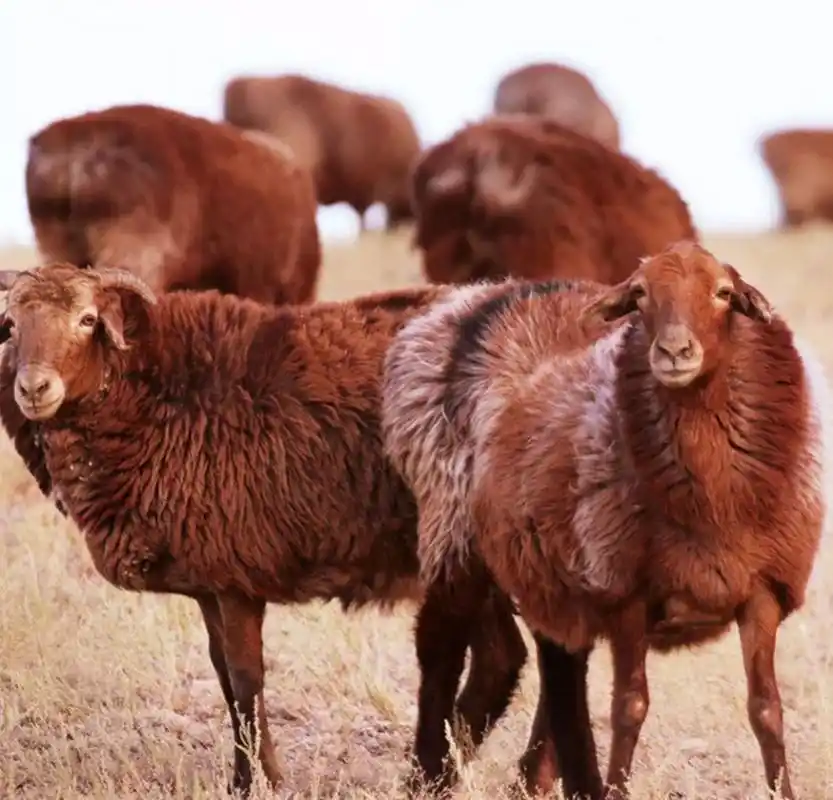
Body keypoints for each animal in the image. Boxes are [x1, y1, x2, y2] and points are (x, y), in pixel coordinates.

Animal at [0, 263, 529, 797]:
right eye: (11, 324)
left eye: (87, 319)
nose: (34, 389)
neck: (153, 393)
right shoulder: (209, 583)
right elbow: (225, 679)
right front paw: (247, 778)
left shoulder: (237, 576)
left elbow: (246, 679)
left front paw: (261, 780)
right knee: (502, 659)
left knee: (500, 659)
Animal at [381, 240, 829, 799]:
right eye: (640, 296)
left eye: (724, 293)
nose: (674, 352)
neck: (712, 502)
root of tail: (495, 291)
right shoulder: (626, 591)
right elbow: (628, 708)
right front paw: (615, 788)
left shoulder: (761, 591)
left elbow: (767, 710)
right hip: (454, 531)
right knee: (441, 647)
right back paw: (429, 773)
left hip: (542, 563)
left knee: (550, 665)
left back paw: (536, 778)